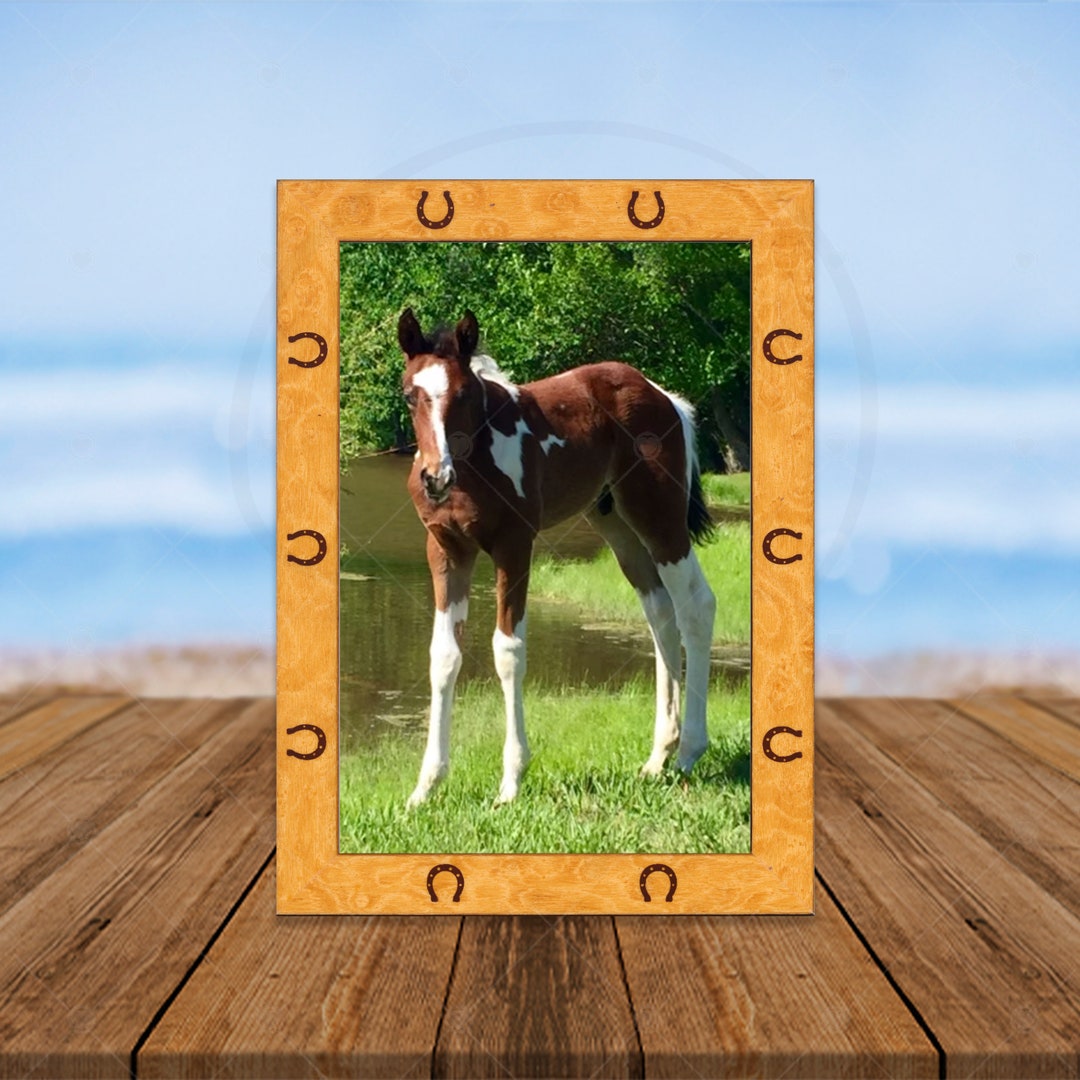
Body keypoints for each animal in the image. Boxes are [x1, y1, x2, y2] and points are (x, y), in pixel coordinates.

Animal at [398, 308, 718, 807]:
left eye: (464, 394)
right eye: (410, 395)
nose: (435, 477)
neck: (475, 461)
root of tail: (666, 398)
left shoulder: (514, 544)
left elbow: (508, 651)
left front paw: (510, 782)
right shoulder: (447, 550)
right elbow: (444, 656)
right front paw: (425, 787)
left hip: (659, 518)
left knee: (696, 606)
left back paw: (688, 753)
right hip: (618, 527)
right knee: (660, 614)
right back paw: (657, 758)